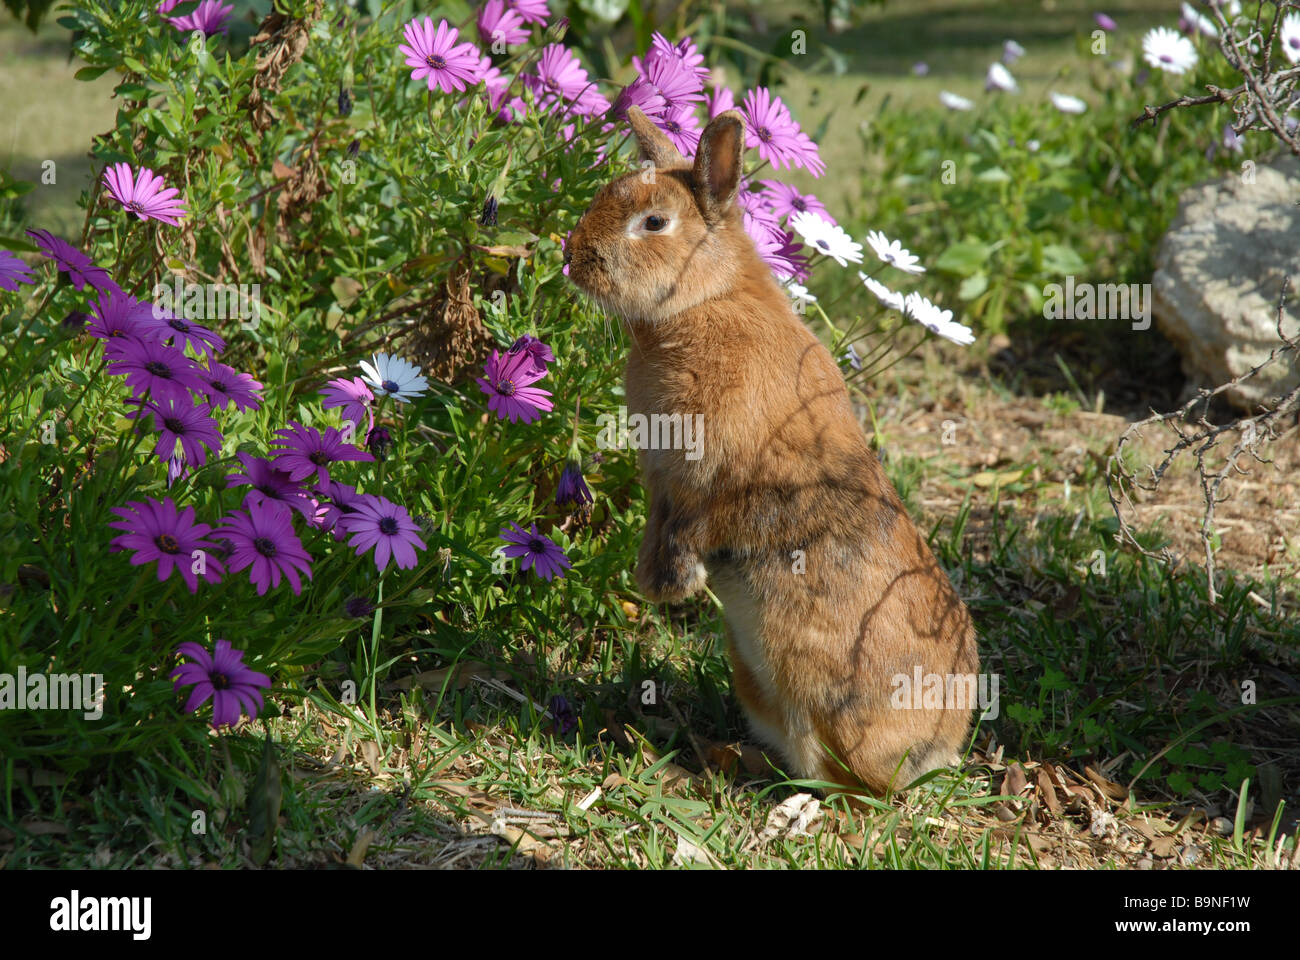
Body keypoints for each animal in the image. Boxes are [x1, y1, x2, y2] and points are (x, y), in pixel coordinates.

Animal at [565, 105, 980, 794]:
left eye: (654, 223)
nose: (572, 258)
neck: (706, 298)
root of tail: (943, 743)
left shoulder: (713, 473)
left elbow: (700, 522)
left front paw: (671, 586)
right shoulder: (663, 485)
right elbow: (661, 526)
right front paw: (655, 584)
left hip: (812, 686)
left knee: (850, 785)